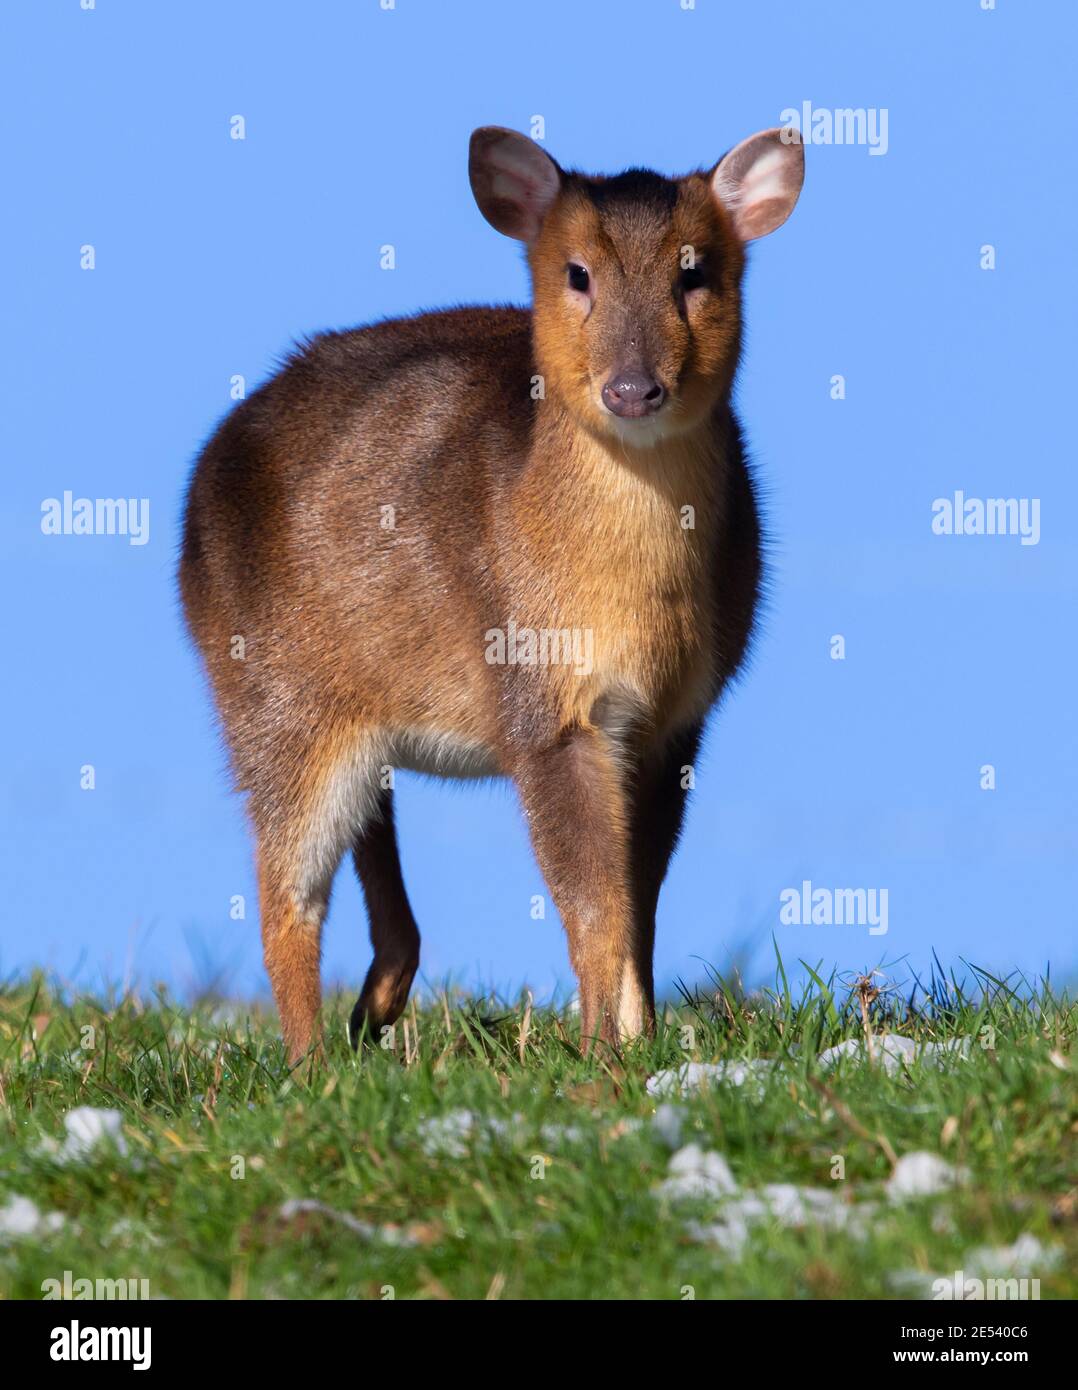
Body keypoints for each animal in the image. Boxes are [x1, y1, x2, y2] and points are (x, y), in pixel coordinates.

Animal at [180, 124, 804, 1065]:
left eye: (694, 272)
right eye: (576, 273)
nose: (633, 388)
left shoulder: (675, 722)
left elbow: (640, 899)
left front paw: (639, 1038)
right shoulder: (540, 705)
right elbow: (592, 903)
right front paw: (601, 1052)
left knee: (378, 876)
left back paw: (369, 1022)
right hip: (271, 700)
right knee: (284, 893)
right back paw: (311, 1064)